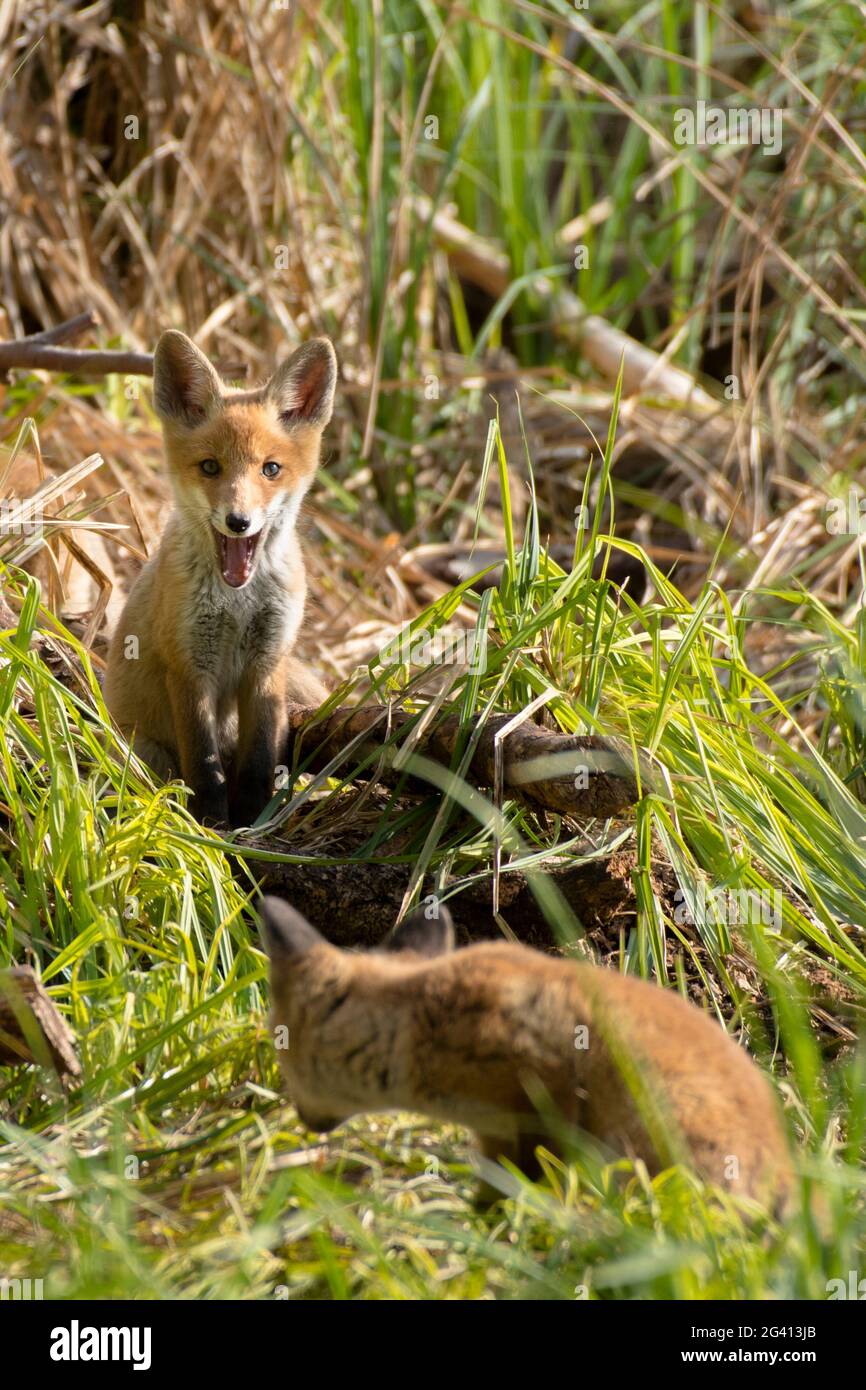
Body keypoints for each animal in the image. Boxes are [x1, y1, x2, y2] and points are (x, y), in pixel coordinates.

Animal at [104, 330, 336, 827]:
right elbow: (204, 764)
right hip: (141, 750)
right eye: (210, 467)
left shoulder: (268, 662)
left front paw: (252, 817)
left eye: (270, 469)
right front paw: (211, 825)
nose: (238, 522)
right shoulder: (188, 667)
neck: (238, 604)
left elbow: (260, 757)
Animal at [260, 896, 794, 1209]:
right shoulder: (494, 1131)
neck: (416, 1026)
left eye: (284, 1058)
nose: (302, 1120)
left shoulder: (541, 1095)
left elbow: (530, 1181)